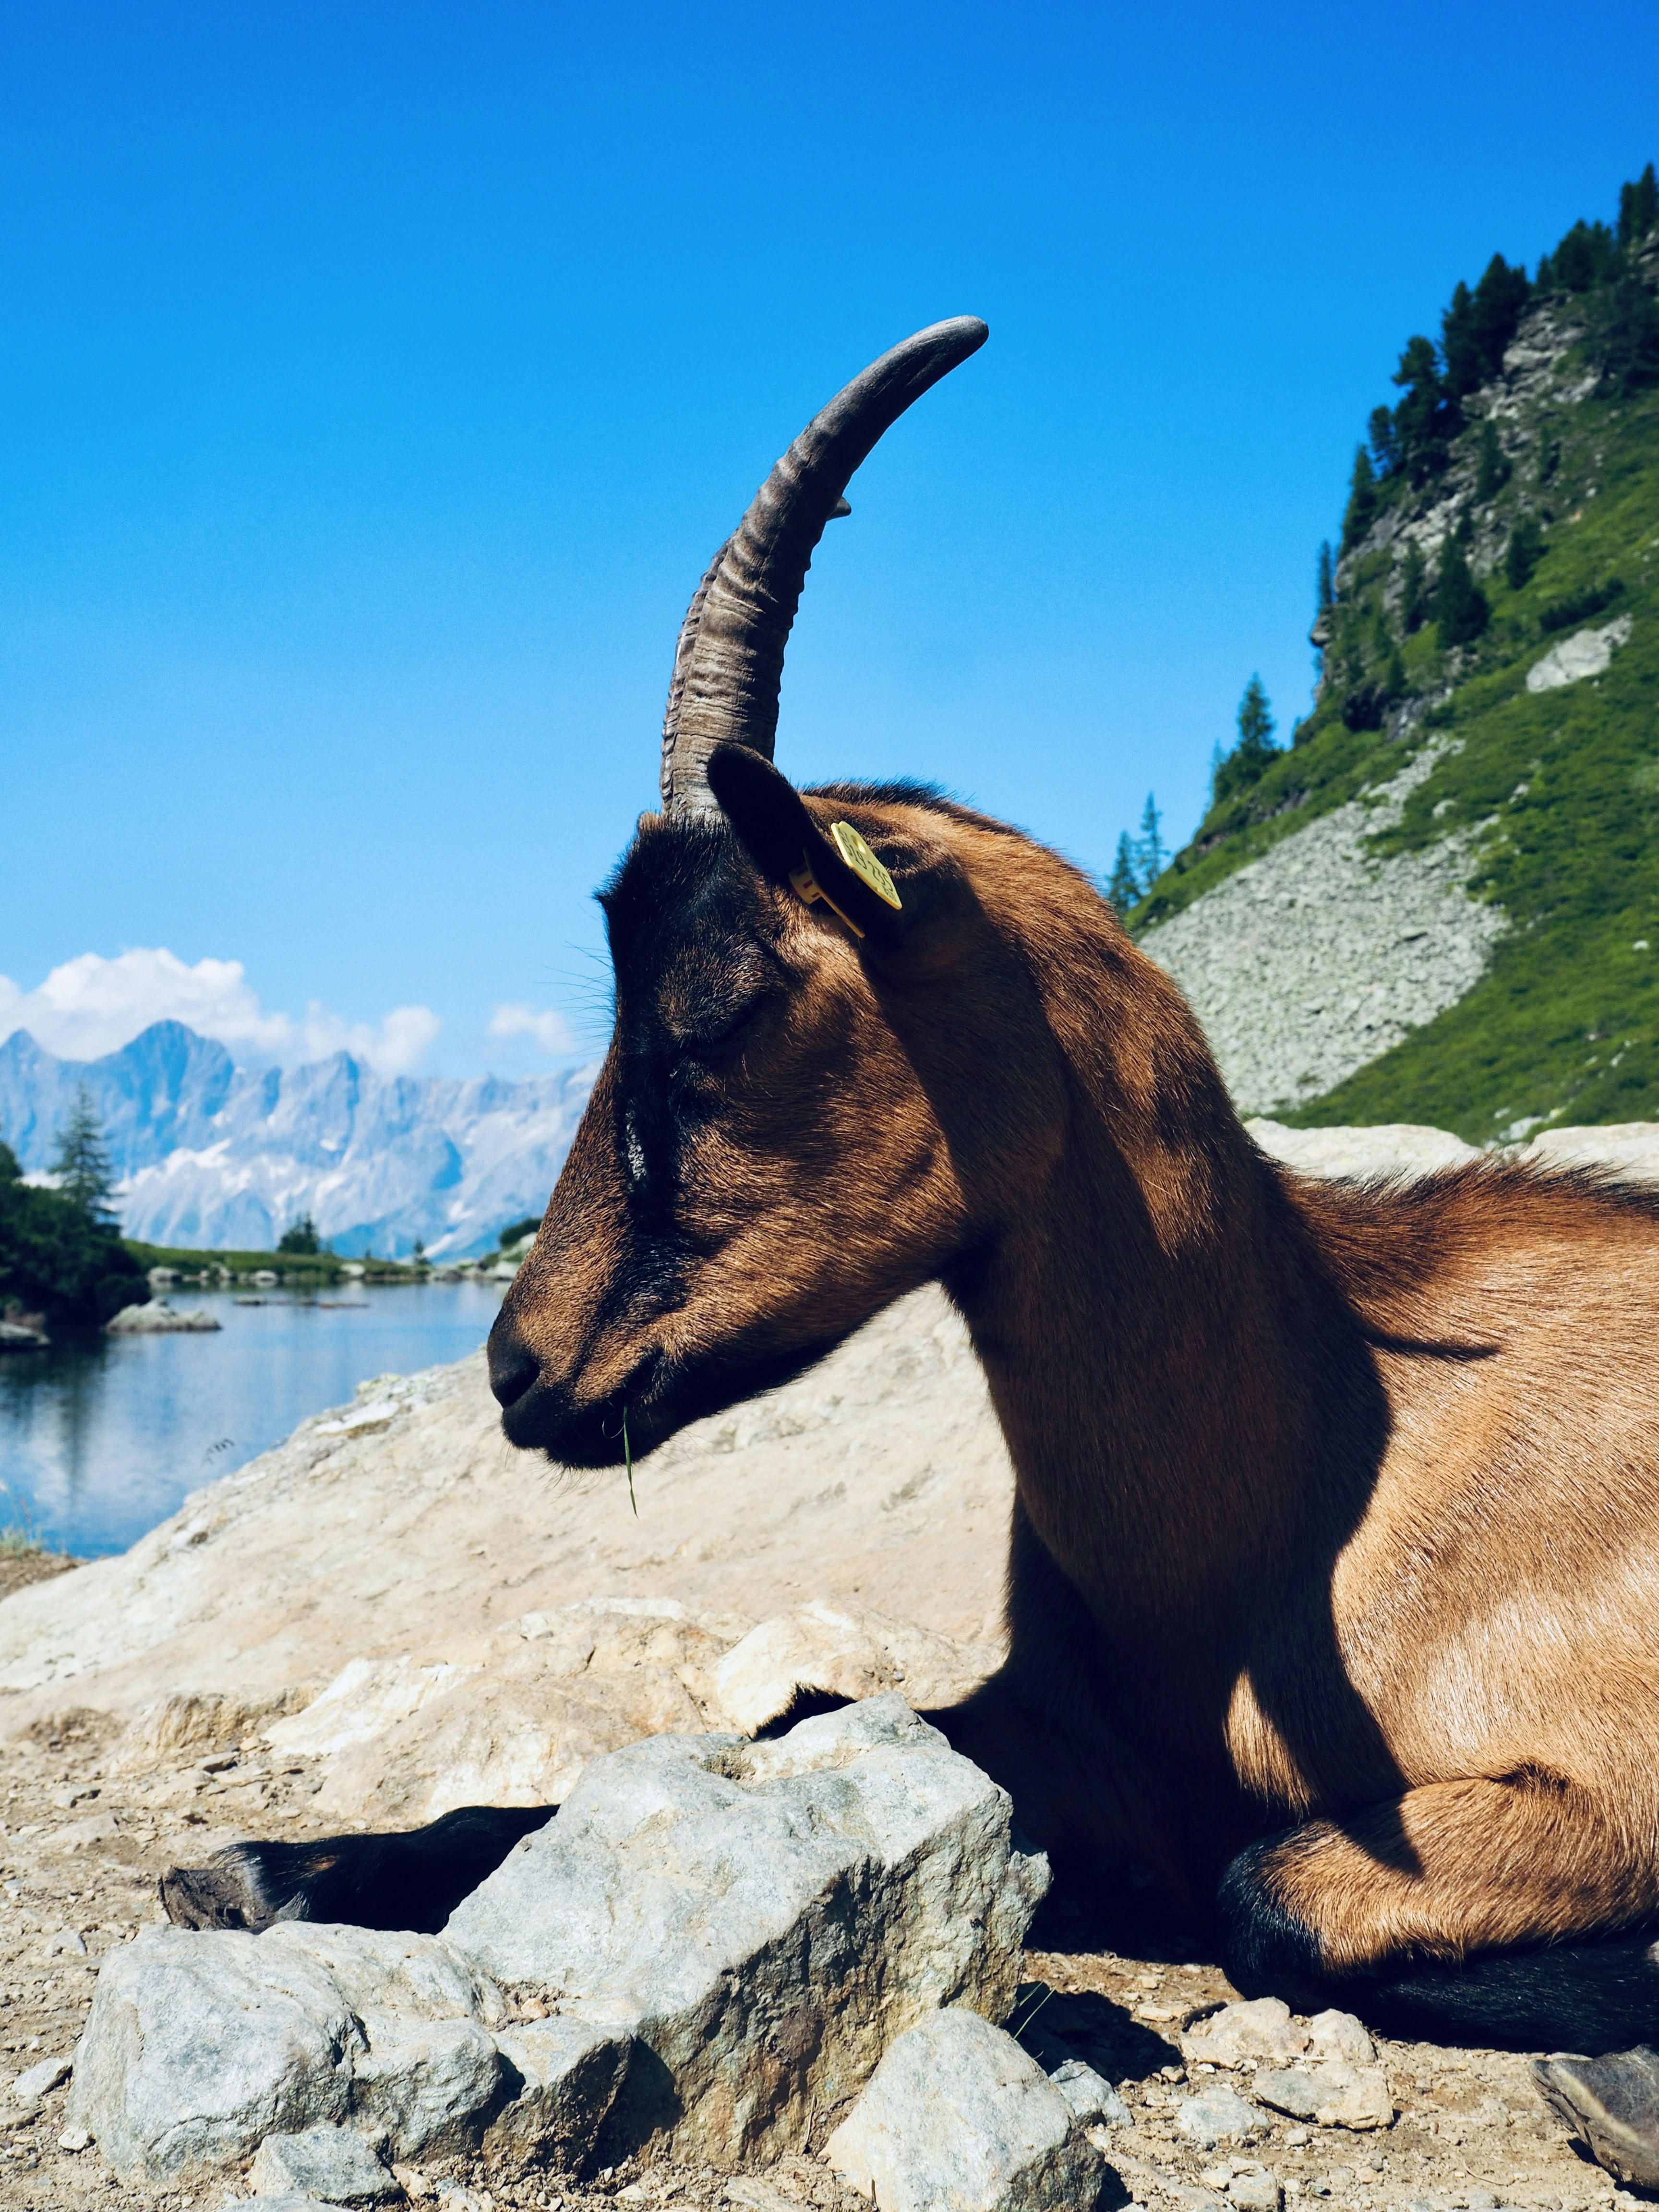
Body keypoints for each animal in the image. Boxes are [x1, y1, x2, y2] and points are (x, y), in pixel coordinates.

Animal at [165, 322, 1659, 2149]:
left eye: (709, 1016)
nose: (521, 1367)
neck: (1287, 1502)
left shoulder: (1594, 1779)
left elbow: (1271, 1895)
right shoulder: (1053, 1734)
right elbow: (779, 1728)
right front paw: (275, 1861)